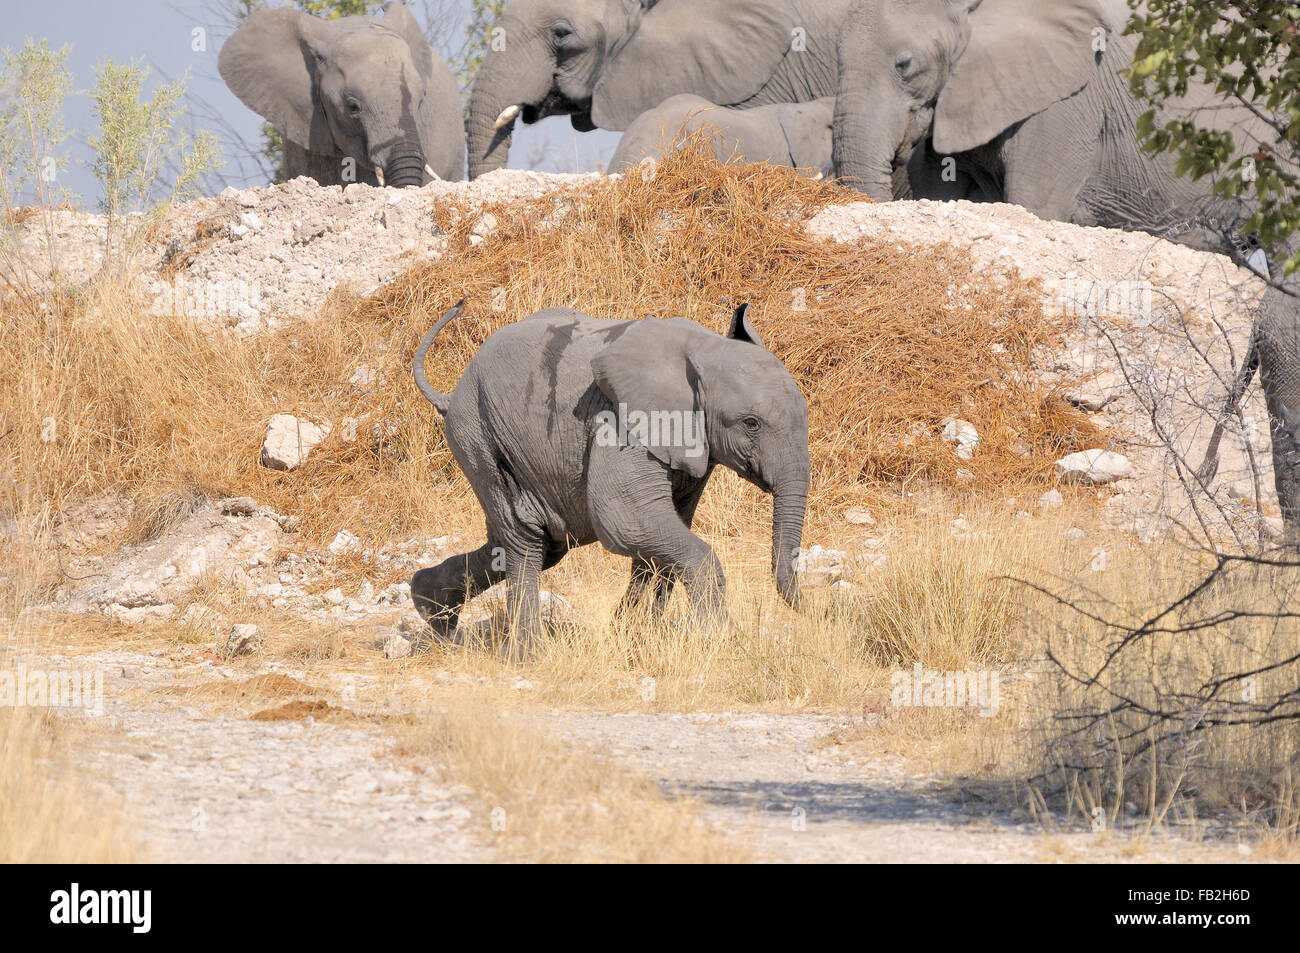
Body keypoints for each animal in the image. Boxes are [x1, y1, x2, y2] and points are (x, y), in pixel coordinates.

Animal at [409, 301, 810, 653]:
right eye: (751, 423)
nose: (819, 609)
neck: (704, 347)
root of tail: (452, 394)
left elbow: (666, 529)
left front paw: (637, 635)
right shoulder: (619, 422)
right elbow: (625, 522)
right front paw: (723, 640)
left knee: (532, 544)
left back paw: (430, 608)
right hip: (476, 436)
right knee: (525, 538)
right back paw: (526, 653)